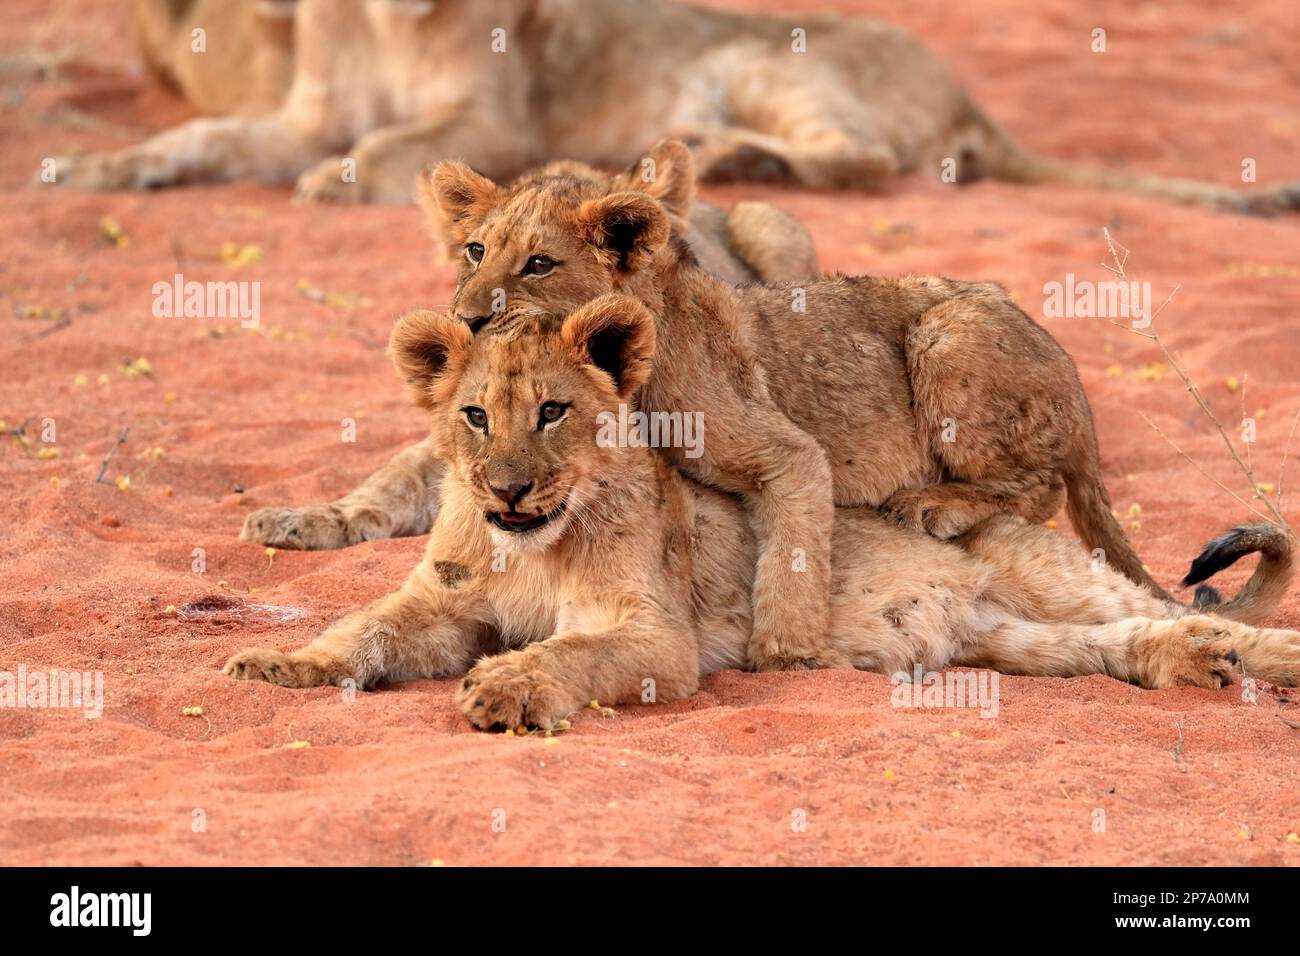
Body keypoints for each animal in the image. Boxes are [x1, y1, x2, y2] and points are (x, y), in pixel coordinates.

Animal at [223, 297, 1300, 731]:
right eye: (475, 415)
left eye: (555, 410)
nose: (507, 490)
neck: (530, 545)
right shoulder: (440, 606)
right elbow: (360, 629)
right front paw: (282, 665)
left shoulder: (652, 637)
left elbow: (570, 653)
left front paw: (508, 688)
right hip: (1015, 641)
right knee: (1127, 639)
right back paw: (1190, 663)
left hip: (1046, 570)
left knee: (1208, 616)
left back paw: (1247, 659)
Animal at [246, 141, 1173, 674]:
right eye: (475, 250)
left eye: (539, 263)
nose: (468, 316)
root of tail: (1079, 395)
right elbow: (395, 479)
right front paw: (302, 520)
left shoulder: (787, 452)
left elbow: (791, 549)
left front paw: (786, 649)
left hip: (946, 332)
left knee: (1040, 487)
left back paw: (934, 504)